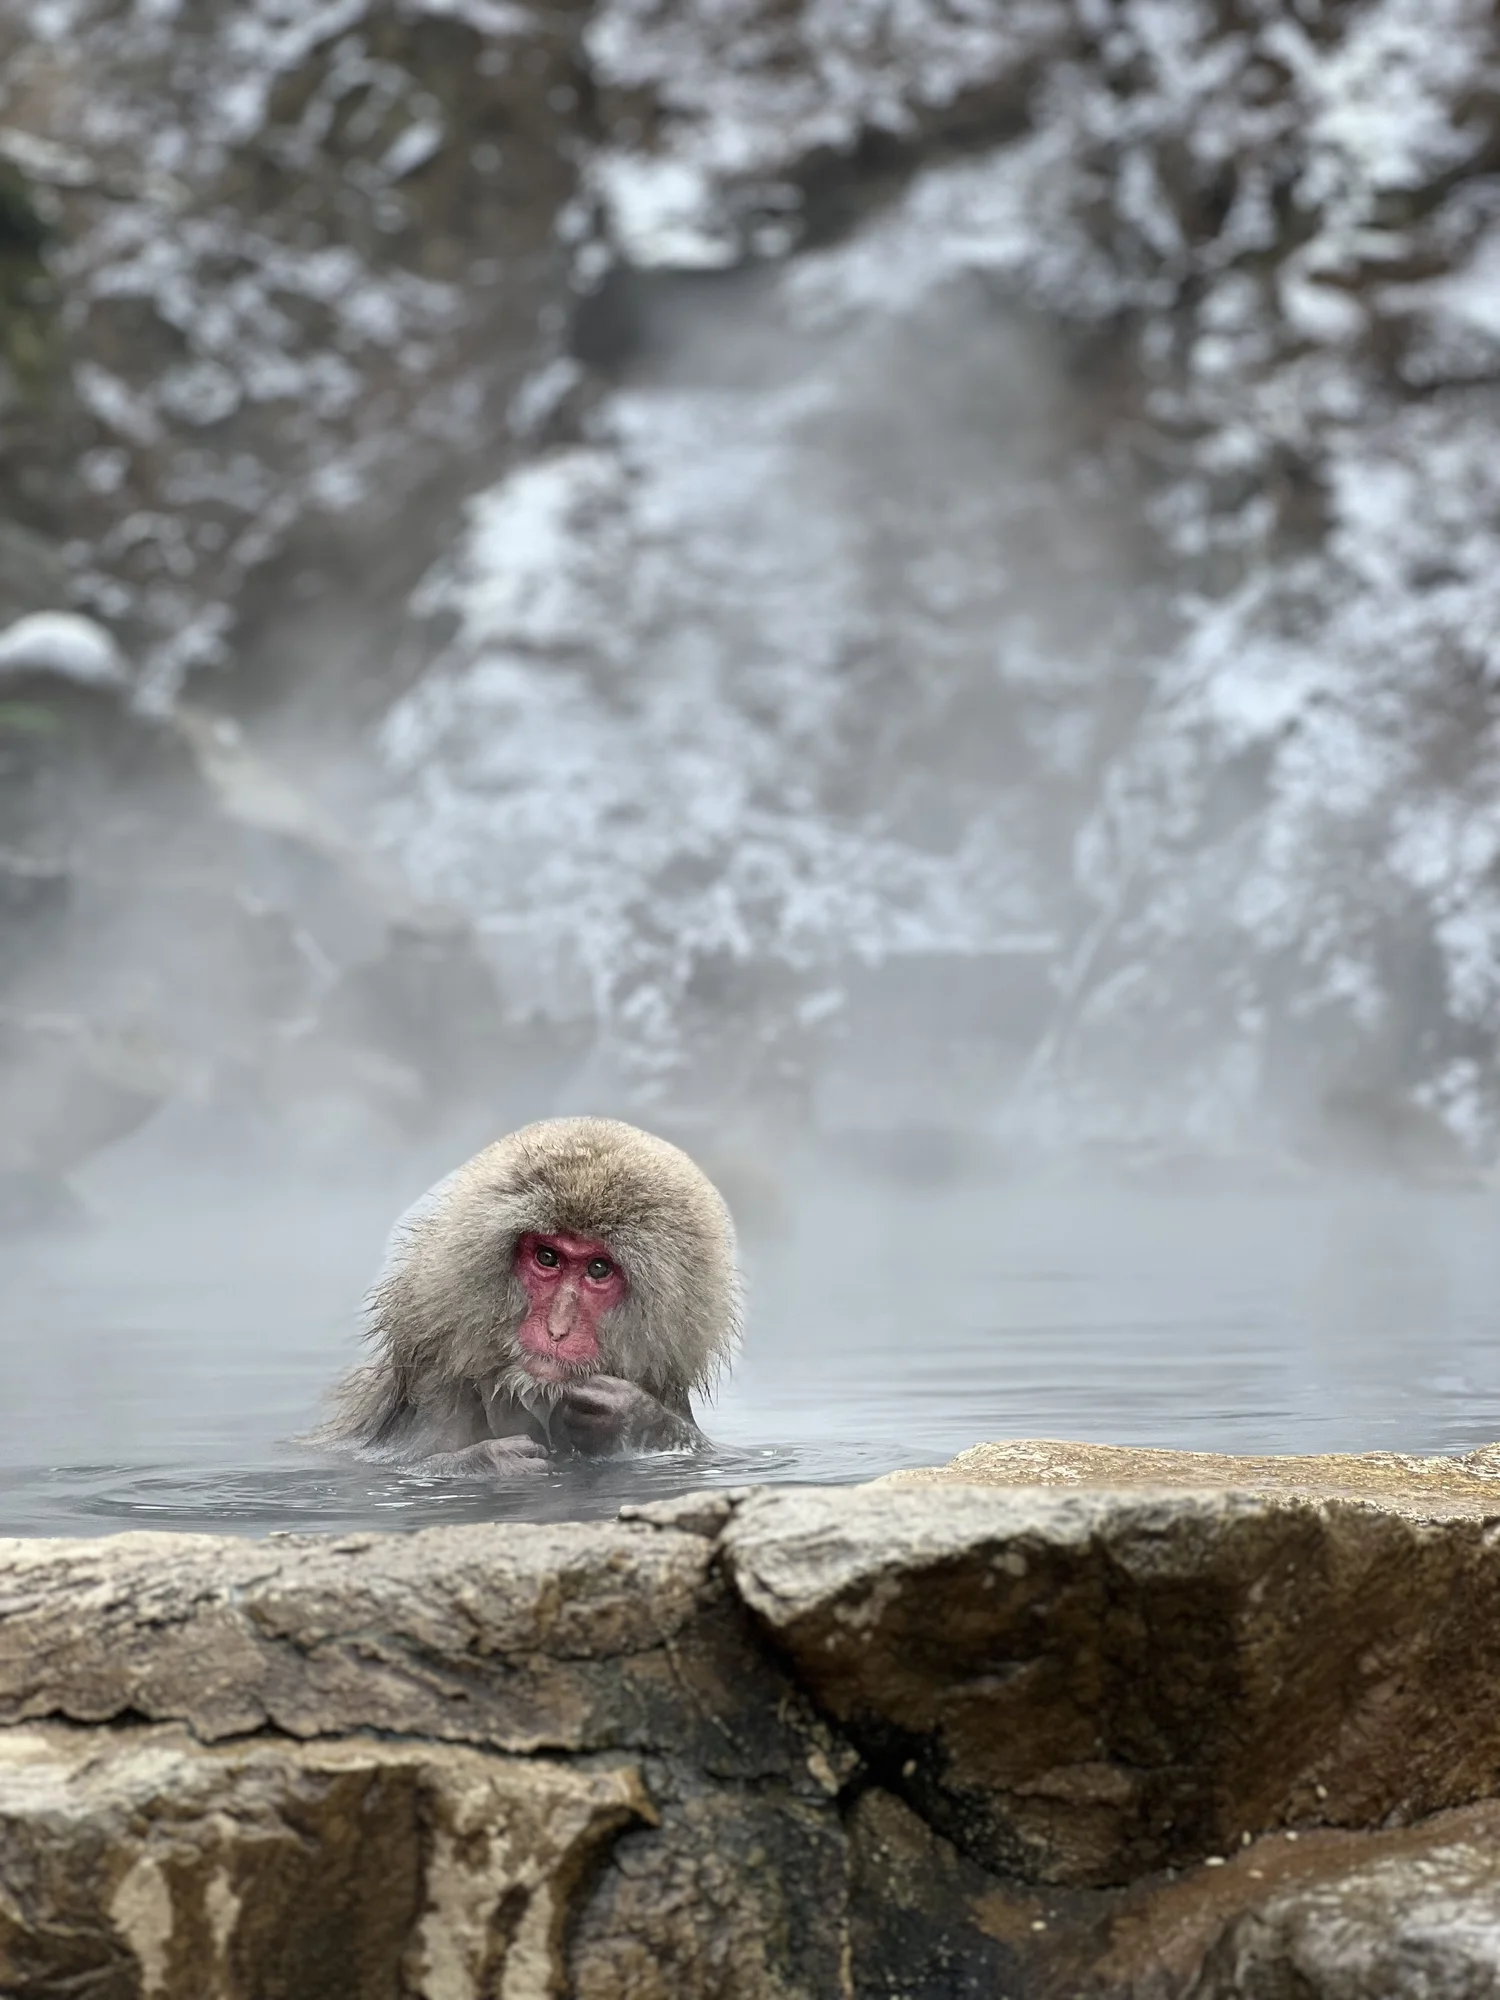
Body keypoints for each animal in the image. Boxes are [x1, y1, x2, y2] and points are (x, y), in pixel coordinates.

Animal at [319, 1117, 741, 1474]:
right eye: (548, 1257)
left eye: (598, 1268)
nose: (557, 1330)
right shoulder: (432, 1393)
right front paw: (487, 1463)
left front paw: (632, 1415)